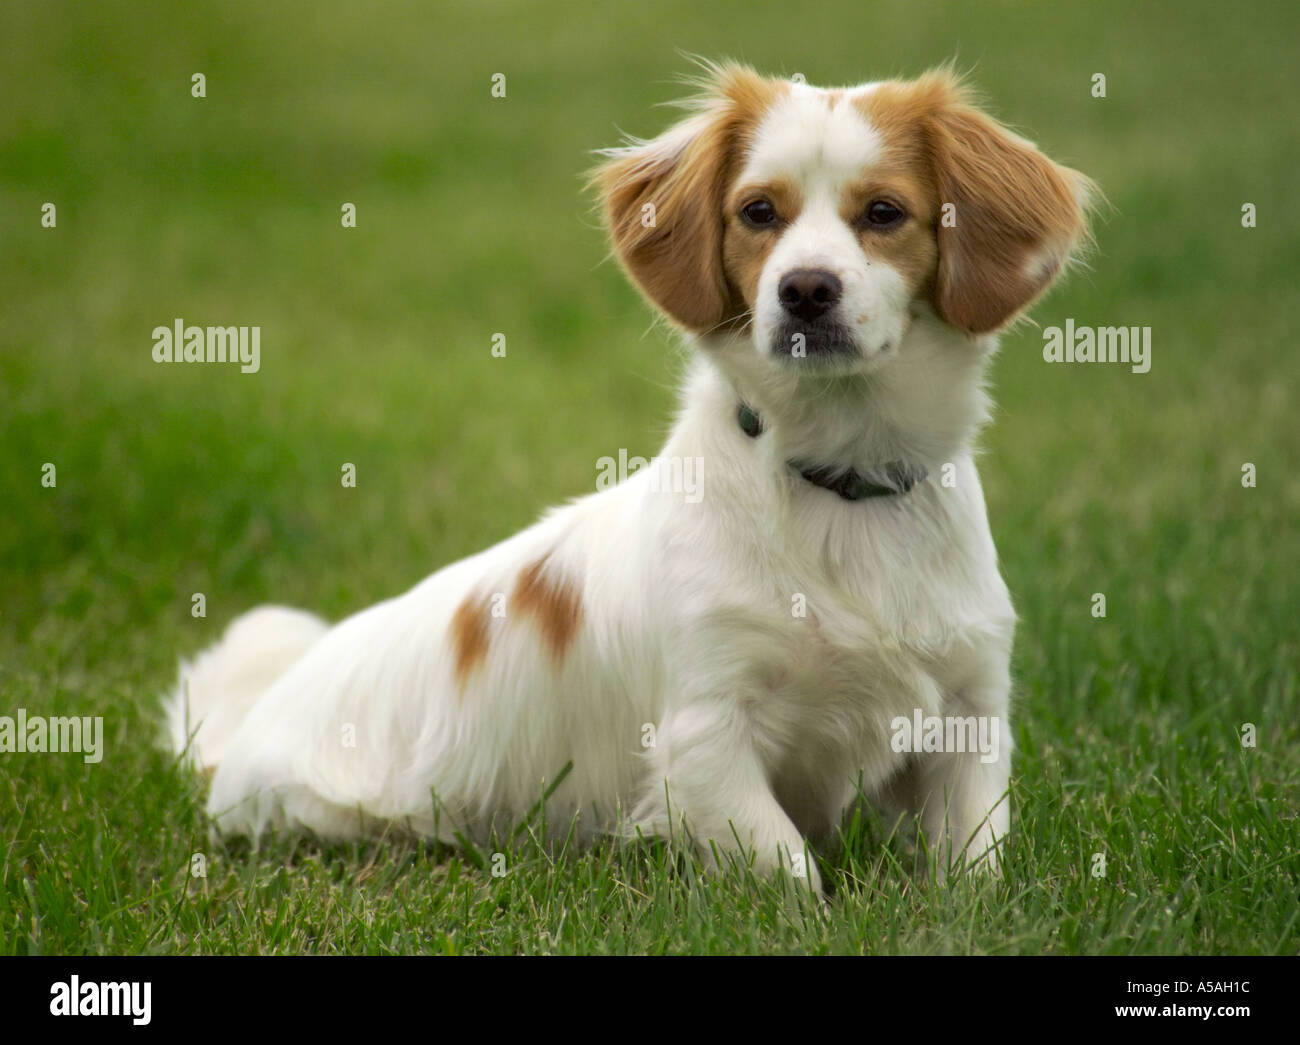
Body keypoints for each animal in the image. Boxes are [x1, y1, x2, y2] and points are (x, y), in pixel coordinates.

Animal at [165, 63, 1097, 889]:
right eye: (758, 211)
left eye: (884, 212)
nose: (805, 290)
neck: (838, 475)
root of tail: (243, 730)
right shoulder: (703, 736)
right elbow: (791, 869)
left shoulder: (971, 710)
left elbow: (976, 863)